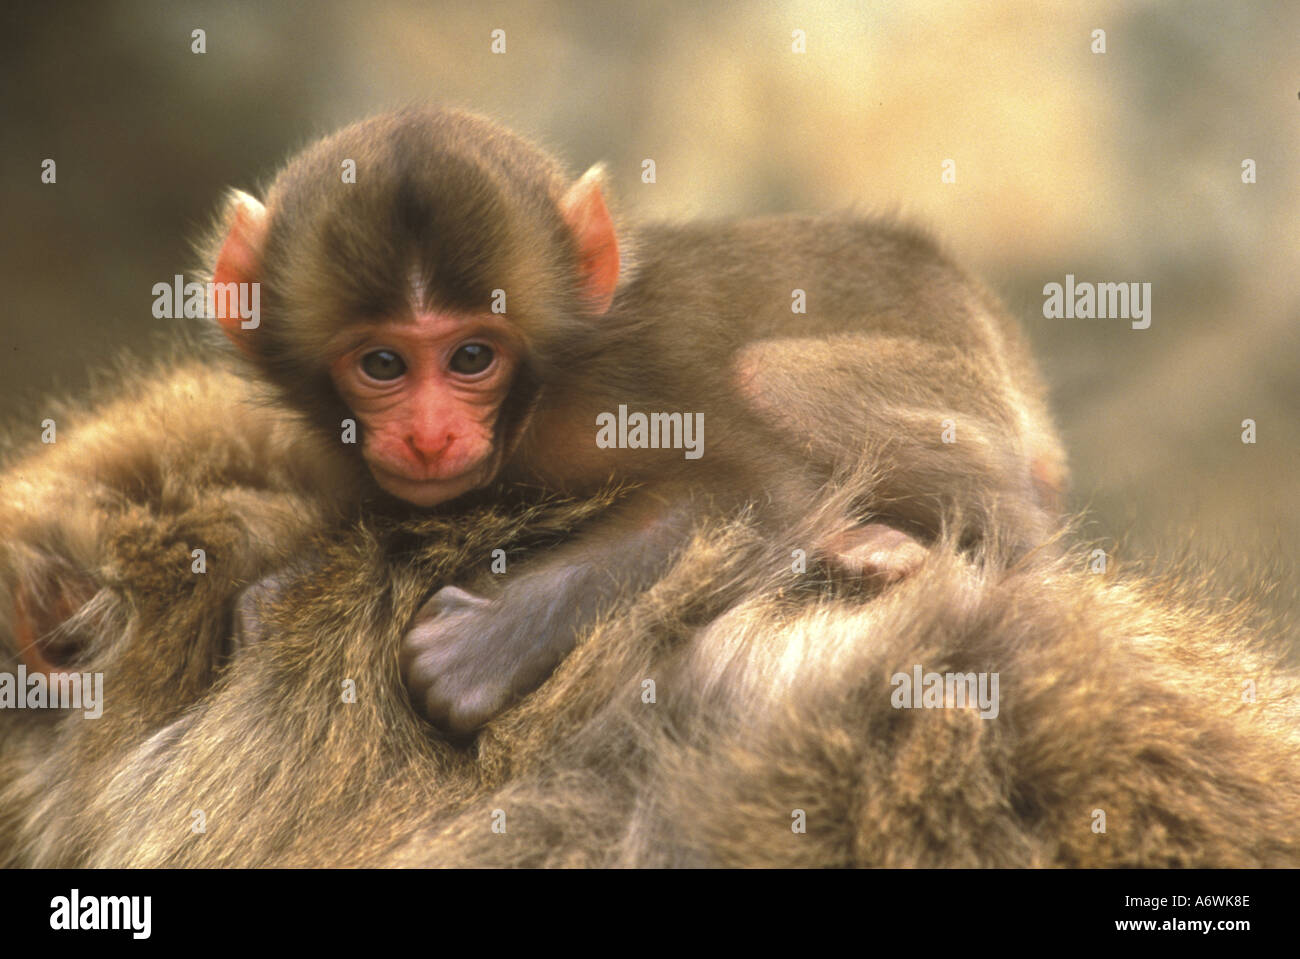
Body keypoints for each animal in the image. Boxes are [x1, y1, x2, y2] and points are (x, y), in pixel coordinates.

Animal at [202, 108, 1069, 735]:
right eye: (382, 364)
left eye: (472, 356)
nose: (429, 435)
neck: (538, 392)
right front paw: (279, 589)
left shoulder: (605, 396)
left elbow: (758, 489)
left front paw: (481, 648)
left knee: (770, 379)